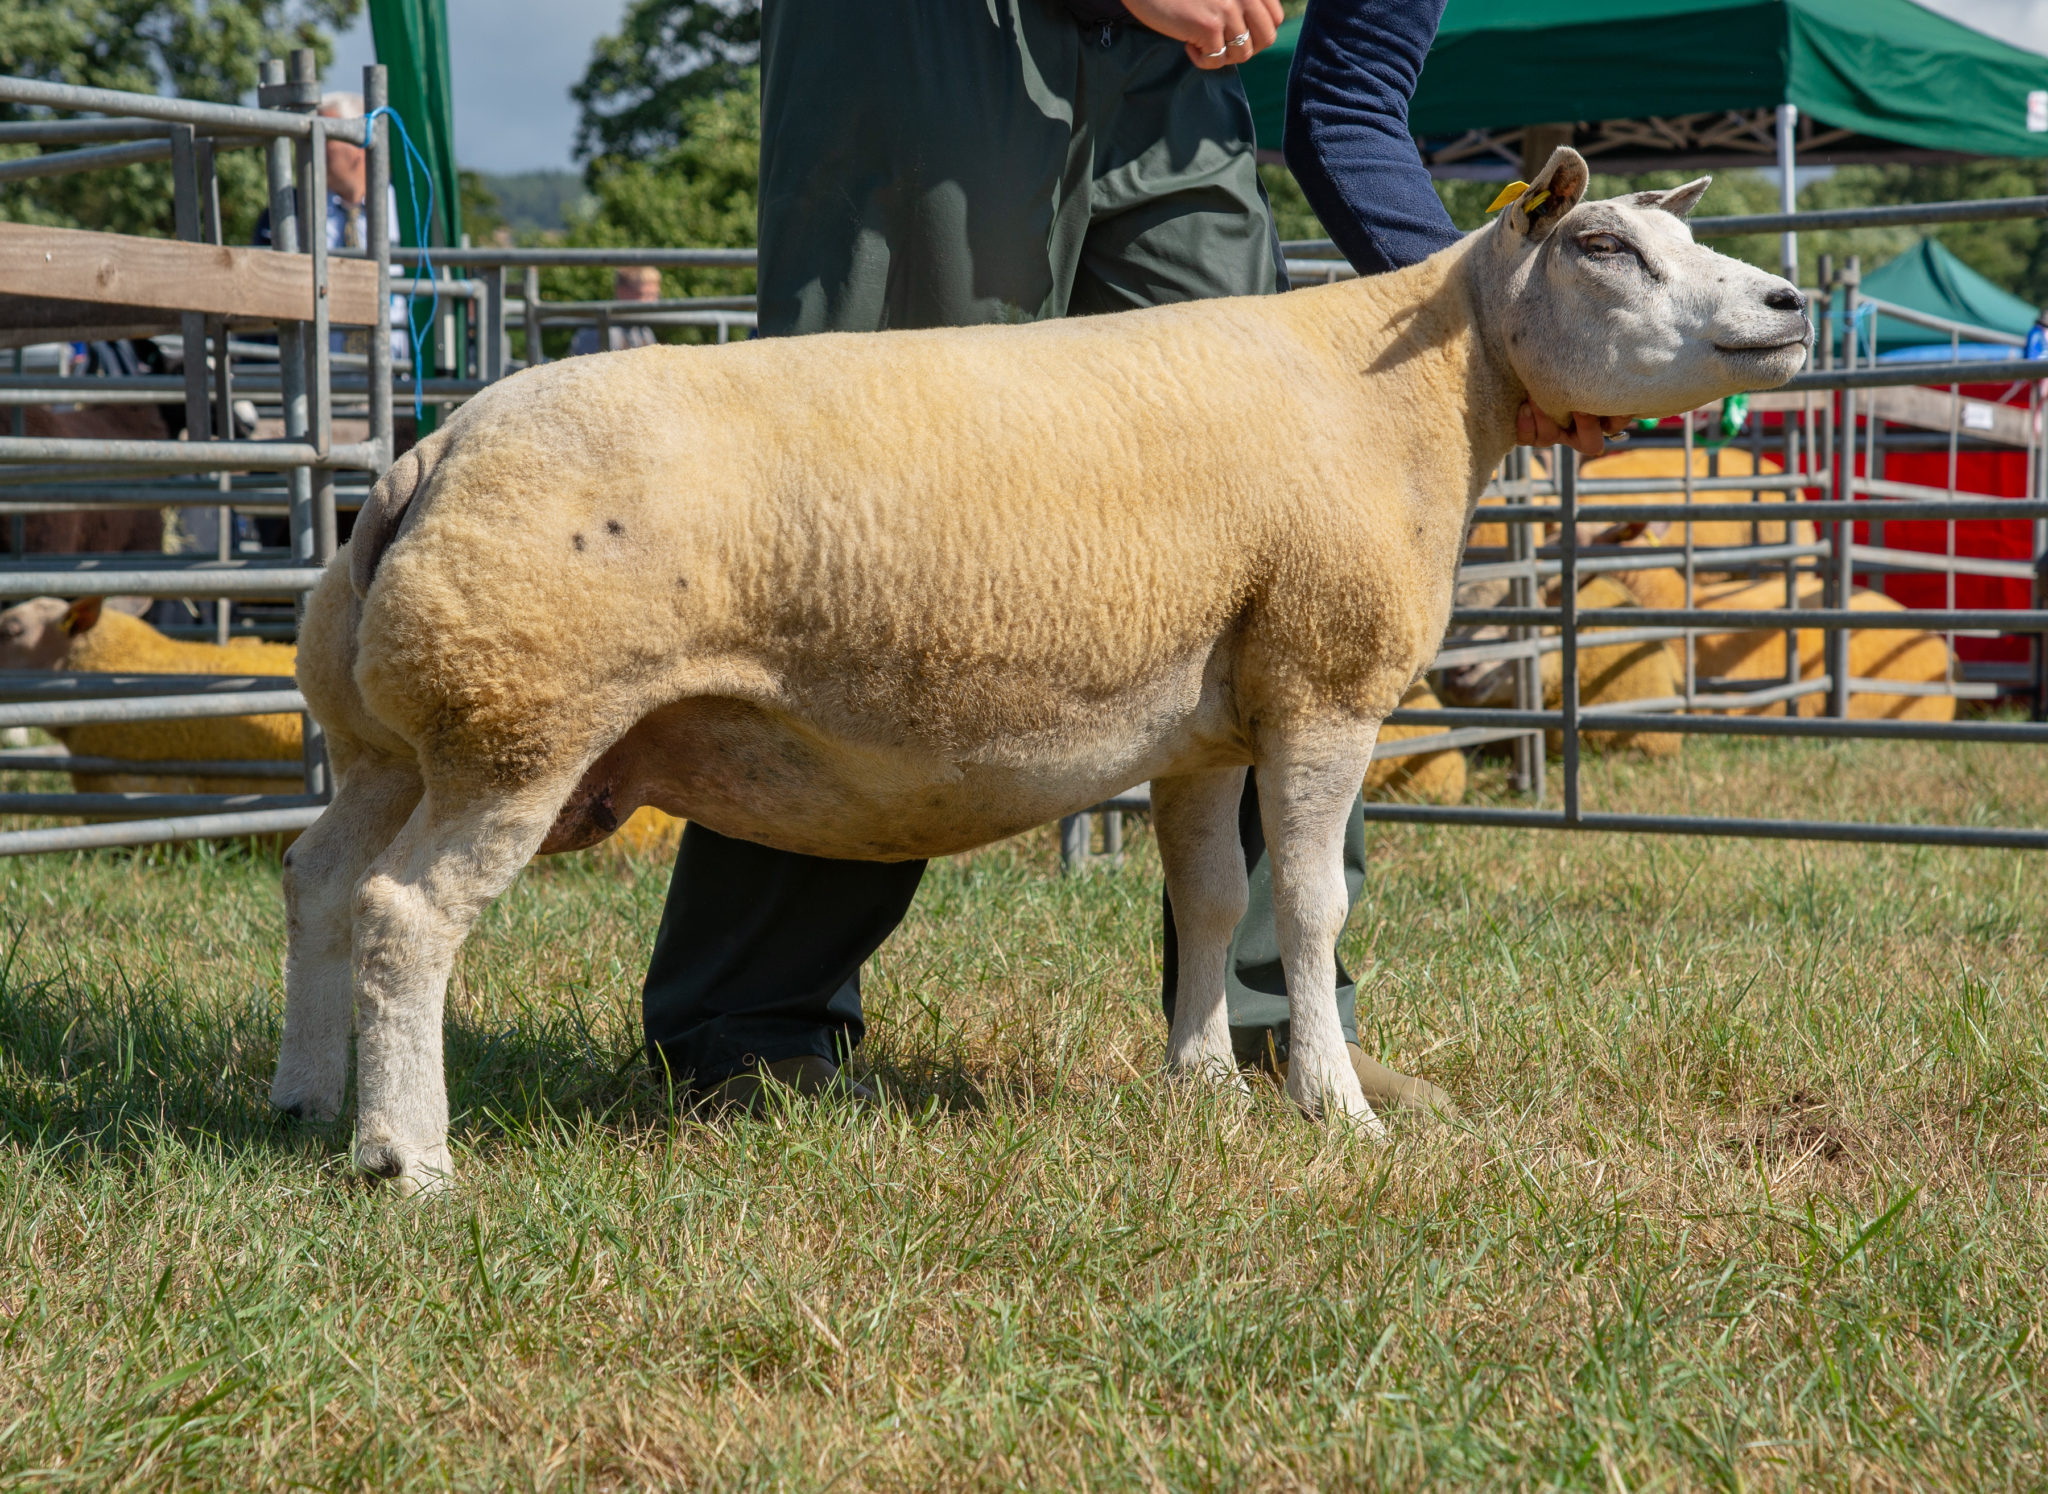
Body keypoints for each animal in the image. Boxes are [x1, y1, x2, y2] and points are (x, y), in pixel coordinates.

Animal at [278, 149, 1811, 1191]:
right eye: (1605, 245)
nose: (1791, 300)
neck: (1413, 391)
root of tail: (423, 459)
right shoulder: (1322, 680)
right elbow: (1308, 907)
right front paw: (1332, 1106)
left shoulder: (1206, 721)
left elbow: (1210, 900)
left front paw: (1202, 1084)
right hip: (519, 720)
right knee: (406, 914)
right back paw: (407, 1159)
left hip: (390, 738)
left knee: (317, 880)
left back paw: (303, 1102)